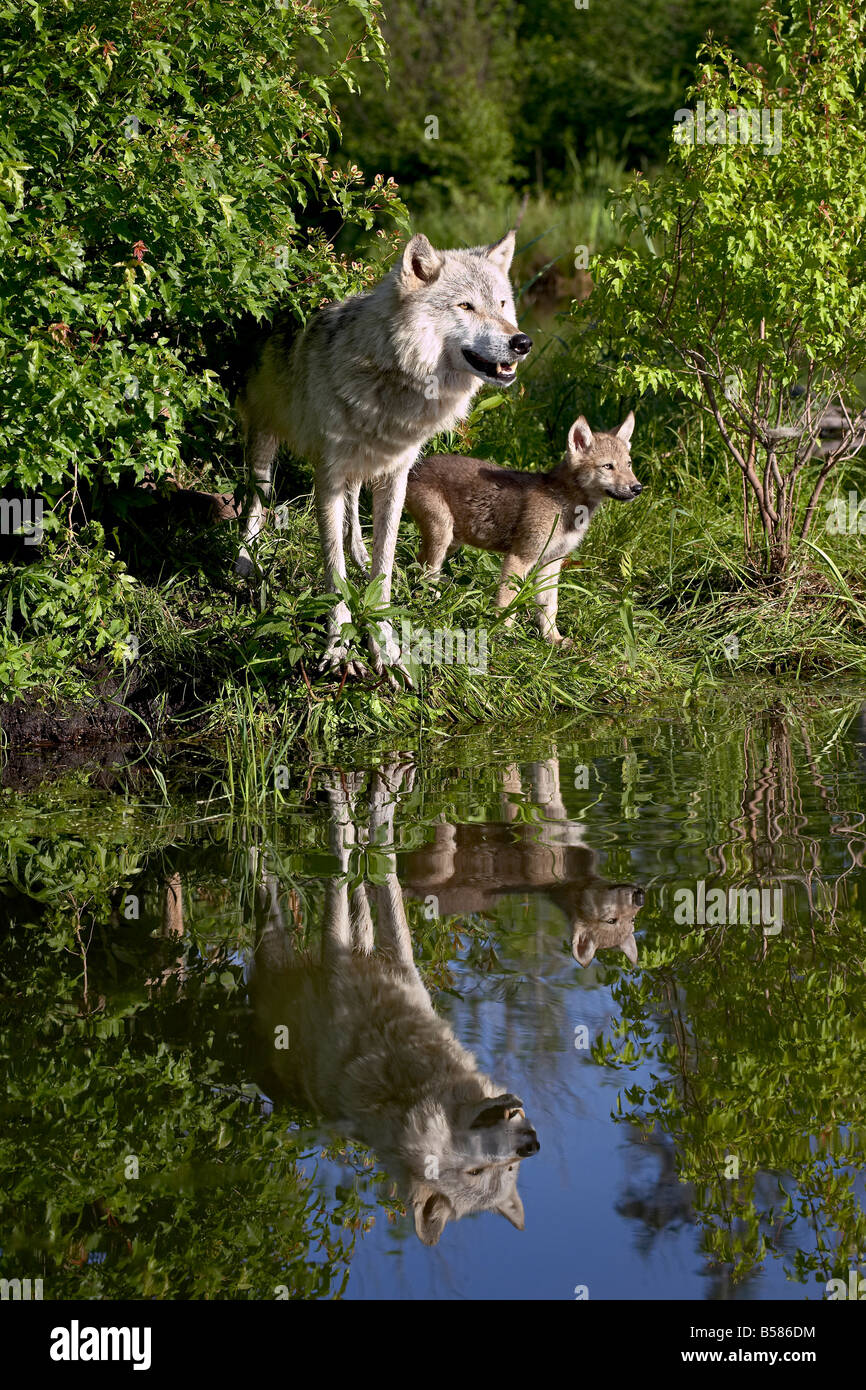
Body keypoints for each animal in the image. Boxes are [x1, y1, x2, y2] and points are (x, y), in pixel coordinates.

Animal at [234, 231, 532, 676]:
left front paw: (385, 643)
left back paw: (356, 549)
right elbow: (333, 570)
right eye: (465, 306)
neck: (394, 377)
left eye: (501, 305)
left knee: (355, 499)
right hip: (265, 440)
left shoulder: (396, 475)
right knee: (256, 502)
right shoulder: (328, 474)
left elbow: (384, 566)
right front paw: (339, 646)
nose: (522, 342)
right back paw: (246, 558)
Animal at [248, 766, 540, 1245]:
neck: (412, 1079)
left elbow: (374, 876)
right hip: (277, 945)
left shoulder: (388, 966)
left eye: (508, 1169)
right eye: (476, 1171)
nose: (531, 1144)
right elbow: (355, 867)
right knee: (275, 895)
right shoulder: (353, 962)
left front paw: (370, 805)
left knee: (356, 909)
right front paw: (357, 805)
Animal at [404, 412, 641, 644]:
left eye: (629, 464)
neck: (566, 506)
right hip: (442, 536)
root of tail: (416, 466)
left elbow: (550, 607)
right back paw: (430, 606)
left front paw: (553, 639)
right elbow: (507, 604)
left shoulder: (551, 562)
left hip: (453, 541)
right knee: (428, 574)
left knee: (417, 565)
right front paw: (501, 637)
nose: (637, 488)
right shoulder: (520, 557)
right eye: (608, 466)